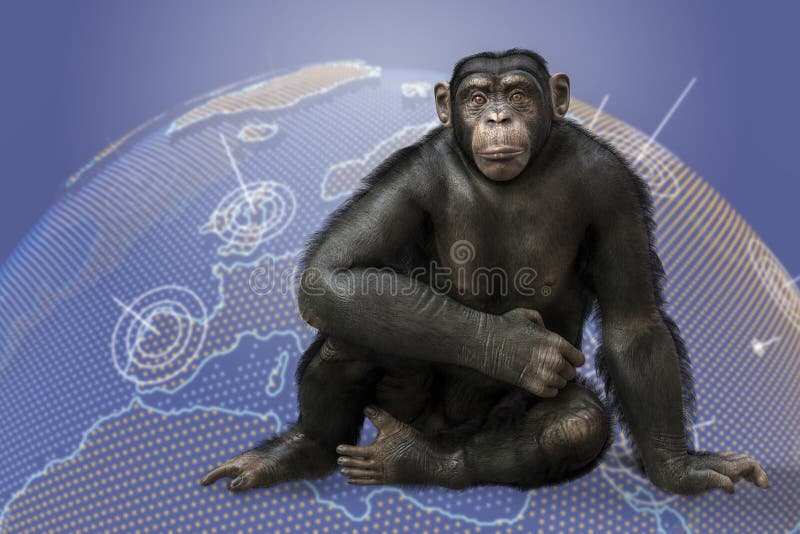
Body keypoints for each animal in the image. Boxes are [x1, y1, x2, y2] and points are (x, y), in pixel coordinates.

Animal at [200, 48, 769, 494]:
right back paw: (303, 451)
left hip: (474, 428)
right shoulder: (413, 173)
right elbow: (332, 273)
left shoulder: (613, 185)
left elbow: (635, 324)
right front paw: (519, 348)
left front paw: (678, 469)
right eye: (475, 99)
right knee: (349, 334)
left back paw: (417, 462)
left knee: (574, 424)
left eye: (517, 94)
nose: (496, 118)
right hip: (403, 402)